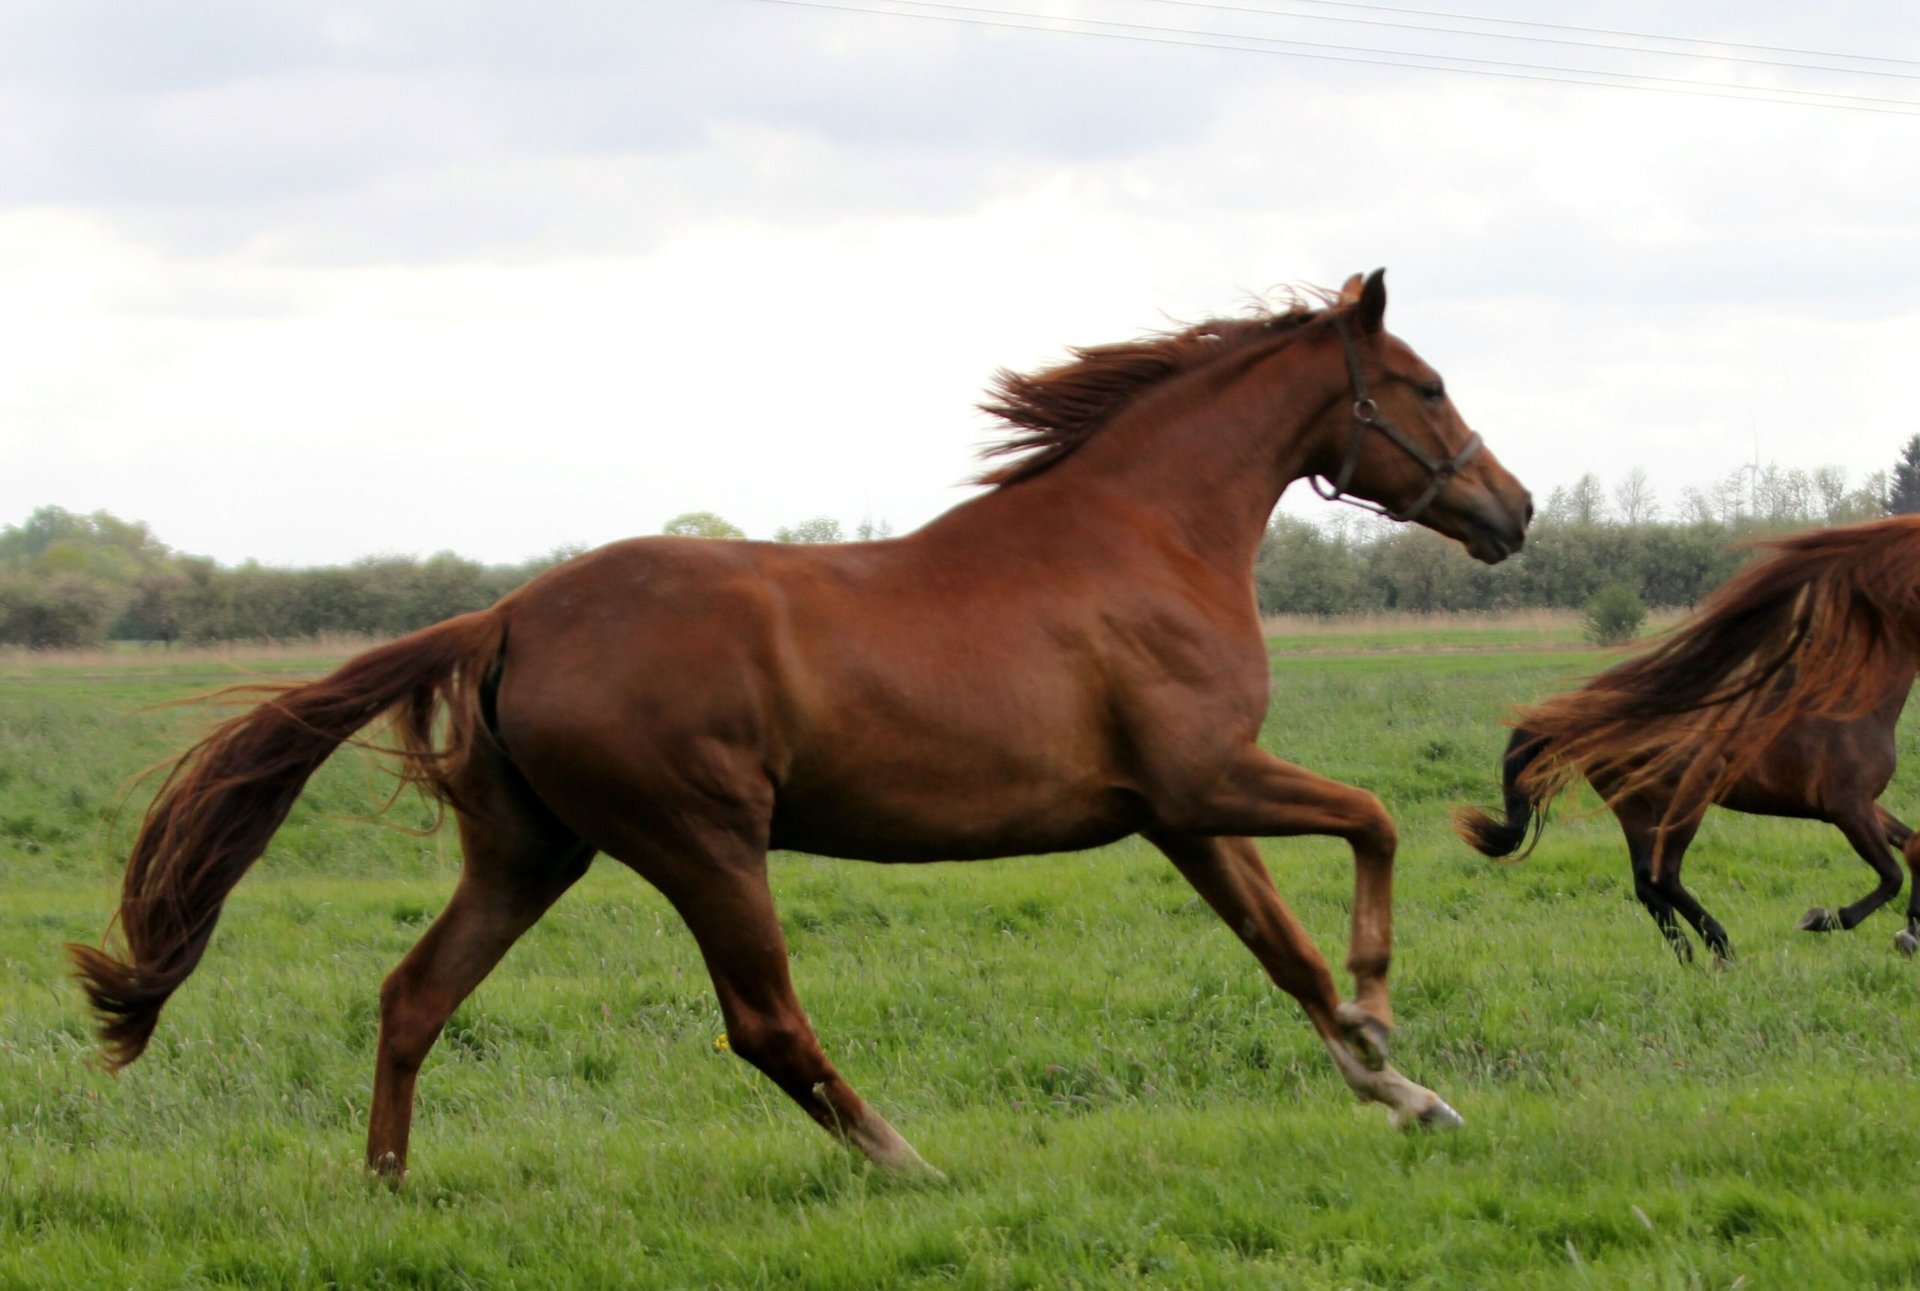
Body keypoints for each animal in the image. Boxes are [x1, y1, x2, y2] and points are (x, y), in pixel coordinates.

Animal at [71, 270, 1532, 1179]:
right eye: (1425, 382)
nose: (1512, 509)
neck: (1147, 536)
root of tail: (513, 615)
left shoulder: (1178, 814)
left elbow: (1282, 950)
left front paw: (1402, 1090)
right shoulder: (1210, 777)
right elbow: (1376, 824)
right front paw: (1386, 1011)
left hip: (531, 852)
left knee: (416, 994)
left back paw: (386, 1186)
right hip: (706, 844)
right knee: (766, 1023)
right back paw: (907, 1159)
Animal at [1454, 516, 1920, 963]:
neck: (1850, 696)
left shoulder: (1860, 803)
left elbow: (1914, 845)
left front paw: (1909, 935)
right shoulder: (1846, 806)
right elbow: (1891, 874)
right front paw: (1824, 918)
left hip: (1637, 807)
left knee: (1646, 881)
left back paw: (1690, 955)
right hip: (1688, 796)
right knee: (1662, 874)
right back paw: (1722, 949)